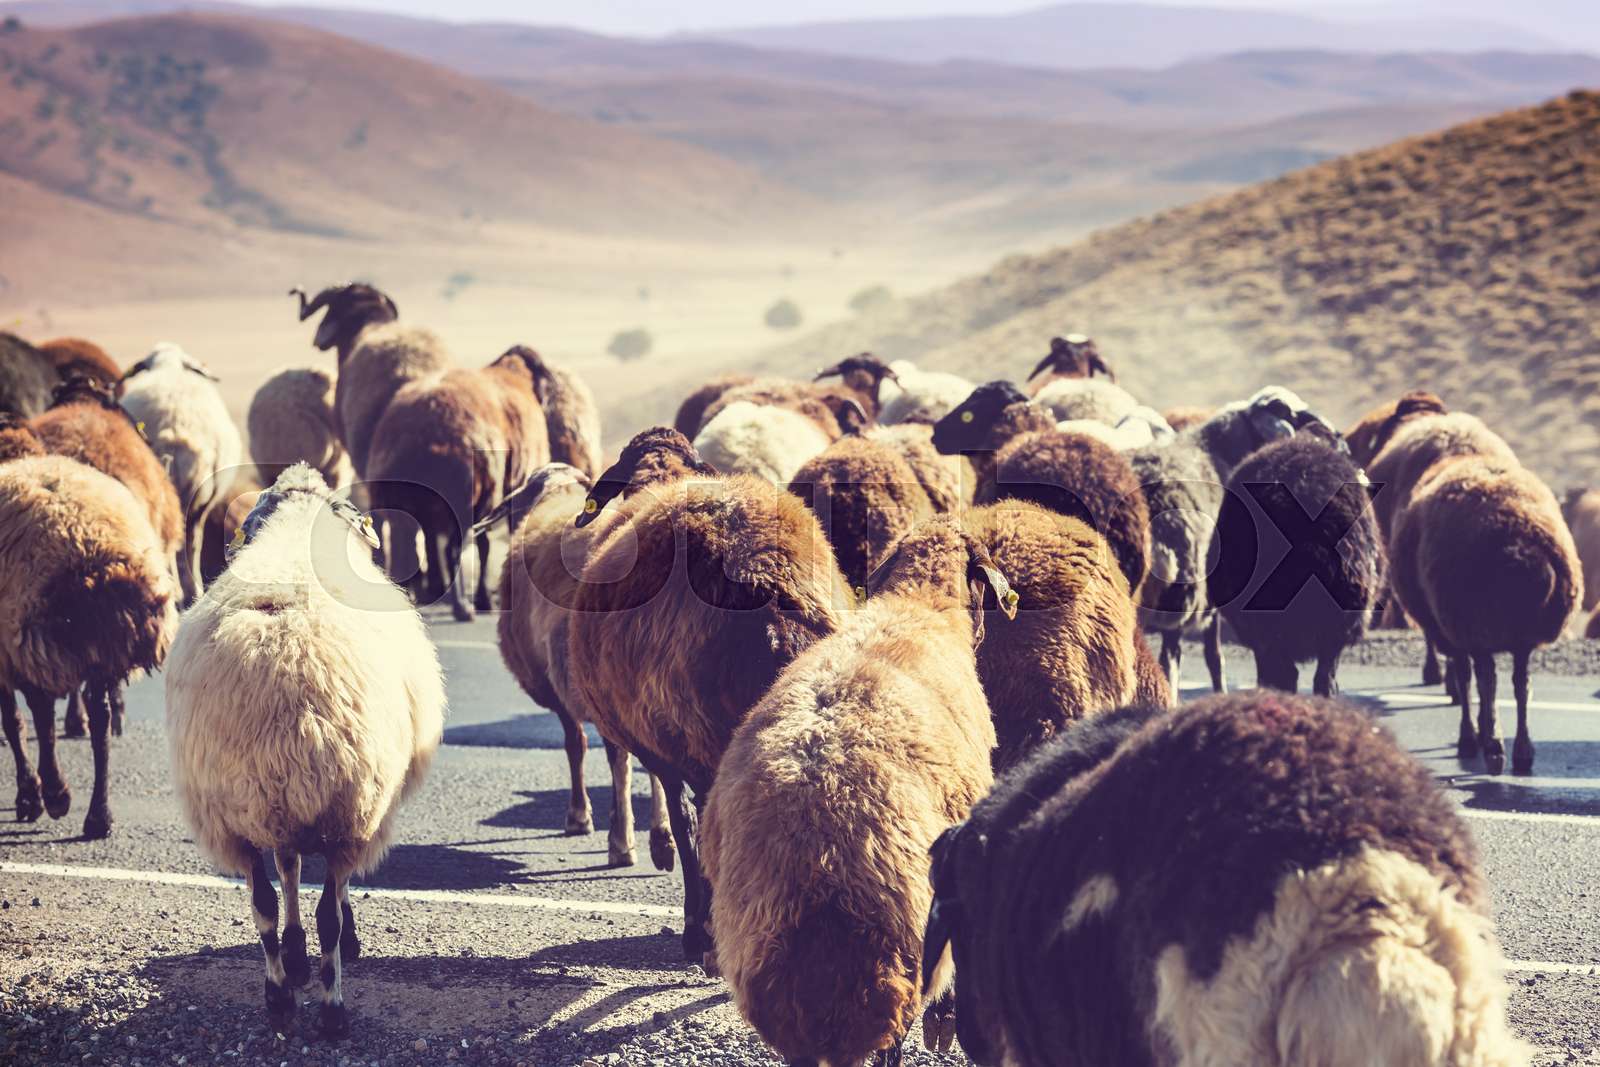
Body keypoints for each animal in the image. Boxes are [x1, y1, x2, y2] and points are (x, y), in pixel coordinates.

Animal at [0, 454, 179, 837]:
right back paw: (99, 816)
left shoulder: (6, 654)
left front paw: (30, 796)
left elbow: (15, 721)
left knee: (42, 714)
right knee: (100, 719)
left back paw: (55, 794)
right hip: (96, 653)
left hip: (33, 639)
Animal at [165, 463, 445, 1037]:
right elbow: (327, 894)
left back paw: (278, 992)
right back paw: (333, 1008)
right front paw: (332, 953)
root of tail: (285, 665)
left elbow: (289, 870)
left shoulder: (277, 810)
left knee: (262, 902)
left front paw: (295, 957)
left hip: (235, 811)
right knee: (327, 916)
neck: (297, 528)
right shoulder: (350, 811)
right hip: (351, 805)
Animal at [366, 346, 551, 620]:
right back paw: (463, 607)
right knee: (454, 549)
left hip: (401, 502)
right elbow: (485, 545)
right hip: (461, 499)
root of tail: (417, 440)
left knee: (406, 544)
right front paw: (485, 599)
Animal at [485, 462, 673, 870]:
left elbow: (575, 744)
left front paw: (579, 817)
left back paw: (623, 842)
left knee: (622, 758)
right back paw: (661, 839)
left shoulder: (555, 687)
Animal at [1390, 451, 1581, 775]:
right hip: (1520, 634)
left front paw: (1471, 736)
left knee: (1486, 679)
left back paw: (1493, 747)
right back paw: (1521, 751)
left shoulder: (1452, 631)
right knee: (1521, 683)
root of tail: (1520, 547)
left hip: (1474, 621)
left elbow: (1465, 680)